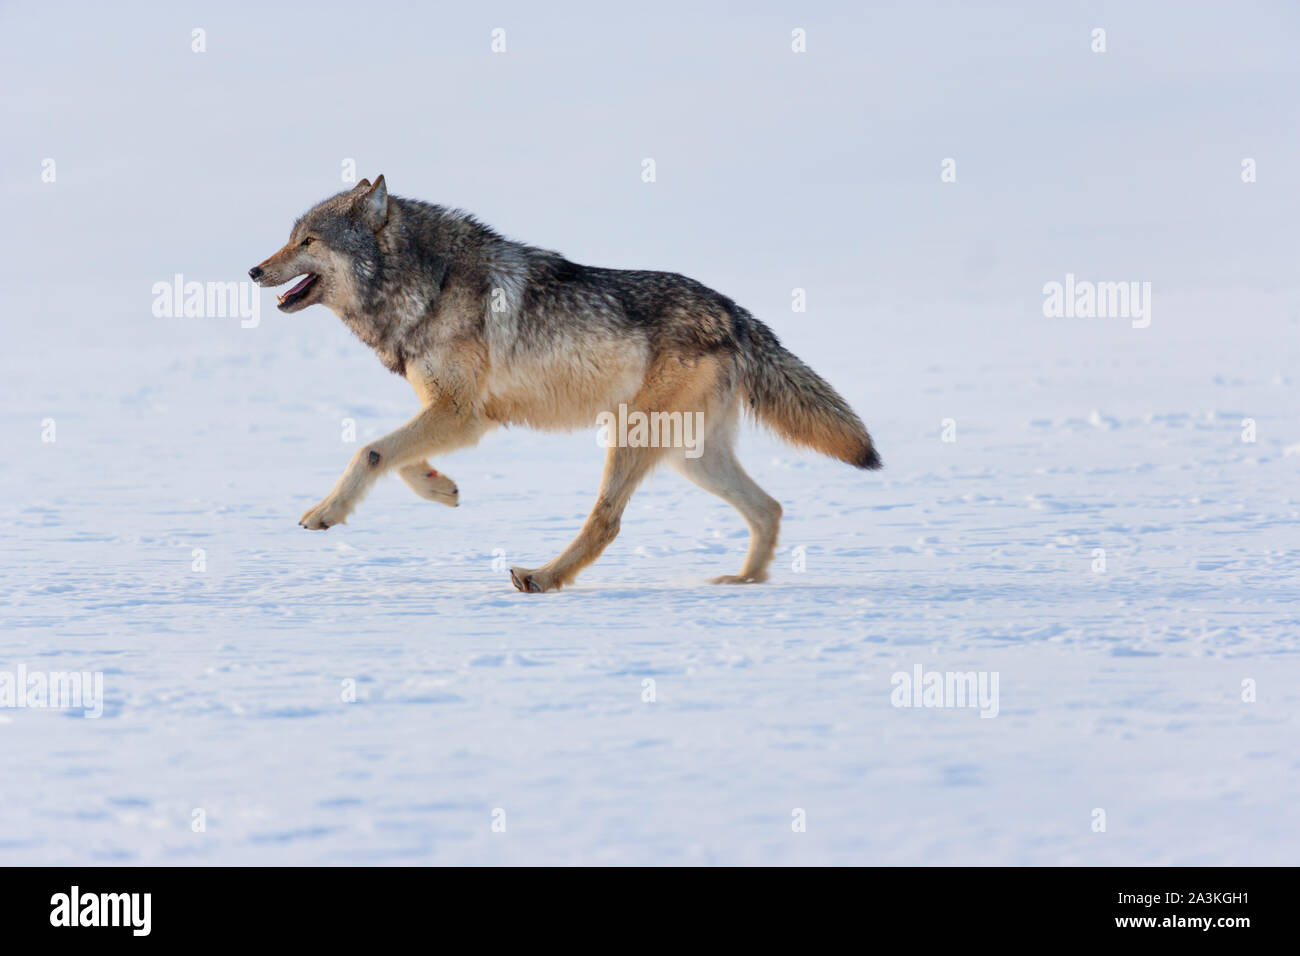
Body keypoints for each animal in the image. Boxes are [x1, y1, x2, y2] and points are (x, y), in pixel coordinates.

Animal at [249, 176, 881, 592]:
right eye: (290, 237)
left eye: (308, 242)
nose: (254, 270)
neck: (428, 281)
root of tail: (735, 314)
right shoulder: (454, 414)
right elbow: (396, 457)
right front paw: (440, 487)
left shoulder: (461, 414)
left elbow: (370, 450)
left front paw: (326, 512)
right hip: (691, 457)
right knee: (768, 507)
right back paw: (743, 582)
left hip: (634, 439)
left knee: (607, 521)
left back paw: (541, 577)